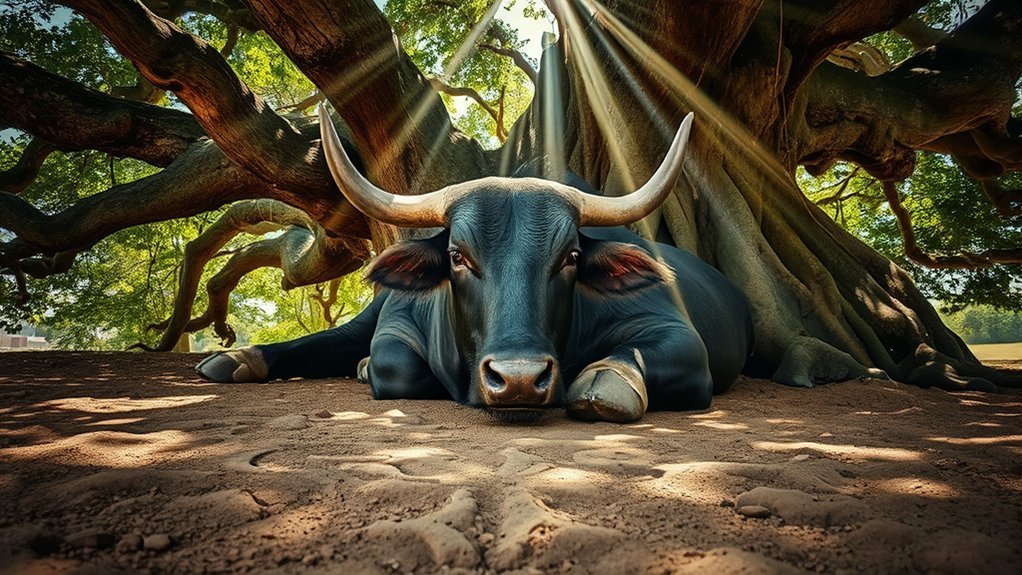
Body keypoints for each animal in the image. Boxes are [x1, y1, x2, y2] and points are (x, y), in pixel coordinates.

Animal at [195, 105, 754, 423]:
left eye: (571, 257)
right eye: (457, 257)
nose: (519, 378)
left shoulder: (677, 334)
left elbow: (625, 366)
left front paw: (603, 383)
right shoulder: (396, 327)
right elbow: (396, 368)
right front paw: (374, 369)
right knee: (332, 341)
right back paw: (239, 359)